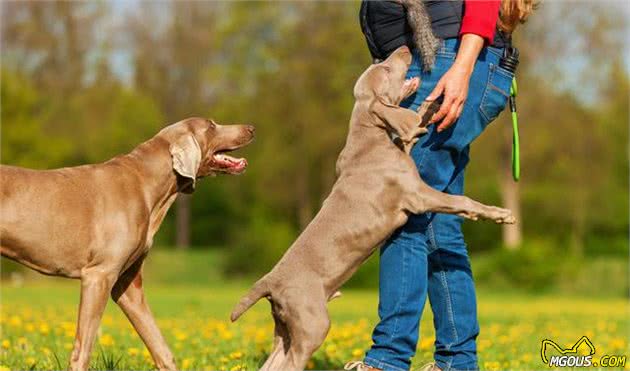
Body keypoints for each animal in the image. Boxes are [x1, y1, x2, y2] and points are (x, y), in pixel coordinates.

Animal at [2, 118, 256, 370]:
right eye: (211, 126)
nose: (251, 128)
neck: (146, 183)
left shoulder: (128, 285)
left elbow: (162, 350)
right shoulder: (99, 275)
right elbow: (82, 350)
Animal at [232, 47, 512, 371]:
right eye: (387, 70)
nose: (405, 48)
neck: (368, 135)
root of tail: (270, 281)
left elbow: (415, 122)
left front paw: (434, 103)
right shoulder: (417, 195)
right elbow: (461, 202)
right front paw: (500, 214)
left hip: (286, 327)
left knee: (273, 362)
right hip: (311, 323)